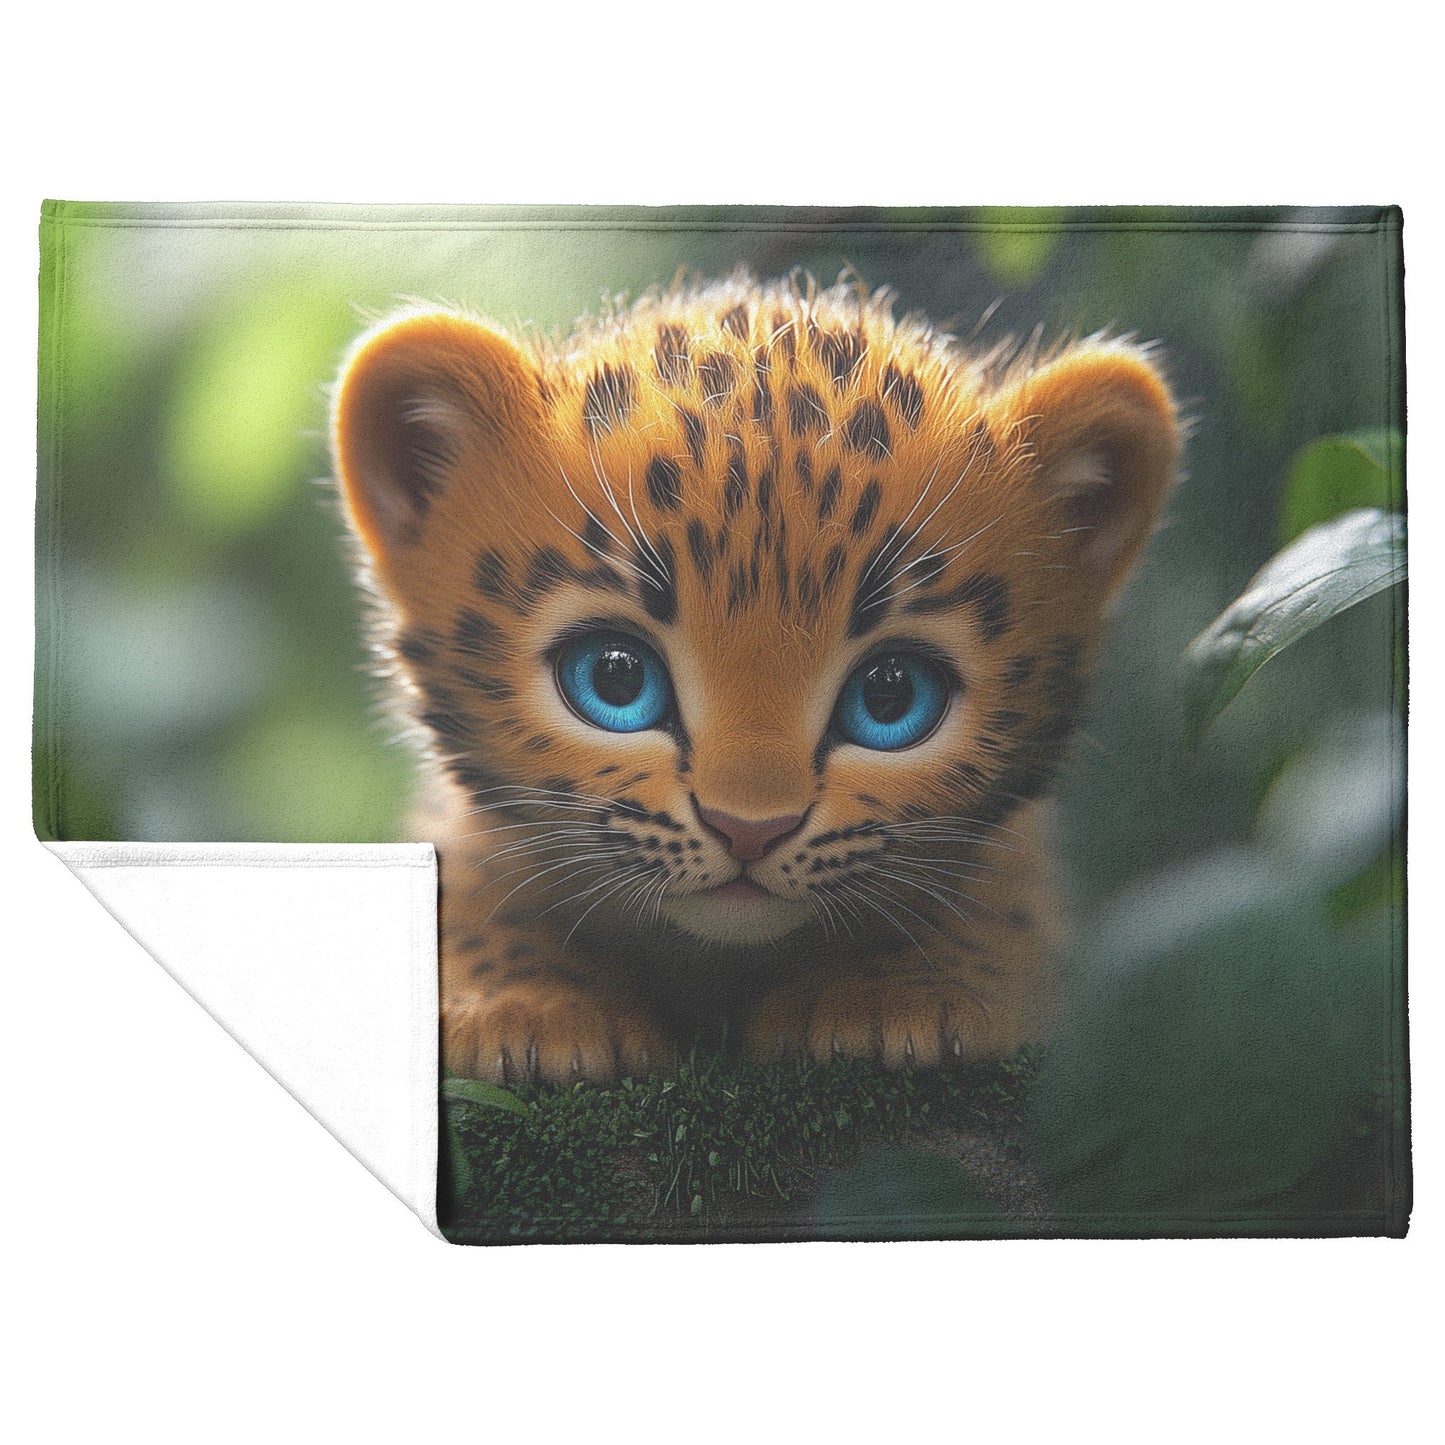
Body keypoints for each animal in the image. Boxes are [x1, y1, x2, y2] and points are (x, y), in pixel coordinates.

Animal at [330, 273, 1179, 1084]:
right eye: (614, 679)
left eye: (890, 695)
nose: (748, 828)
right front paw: (520, 1004)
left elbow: (997, 911)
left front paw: (897, 994)